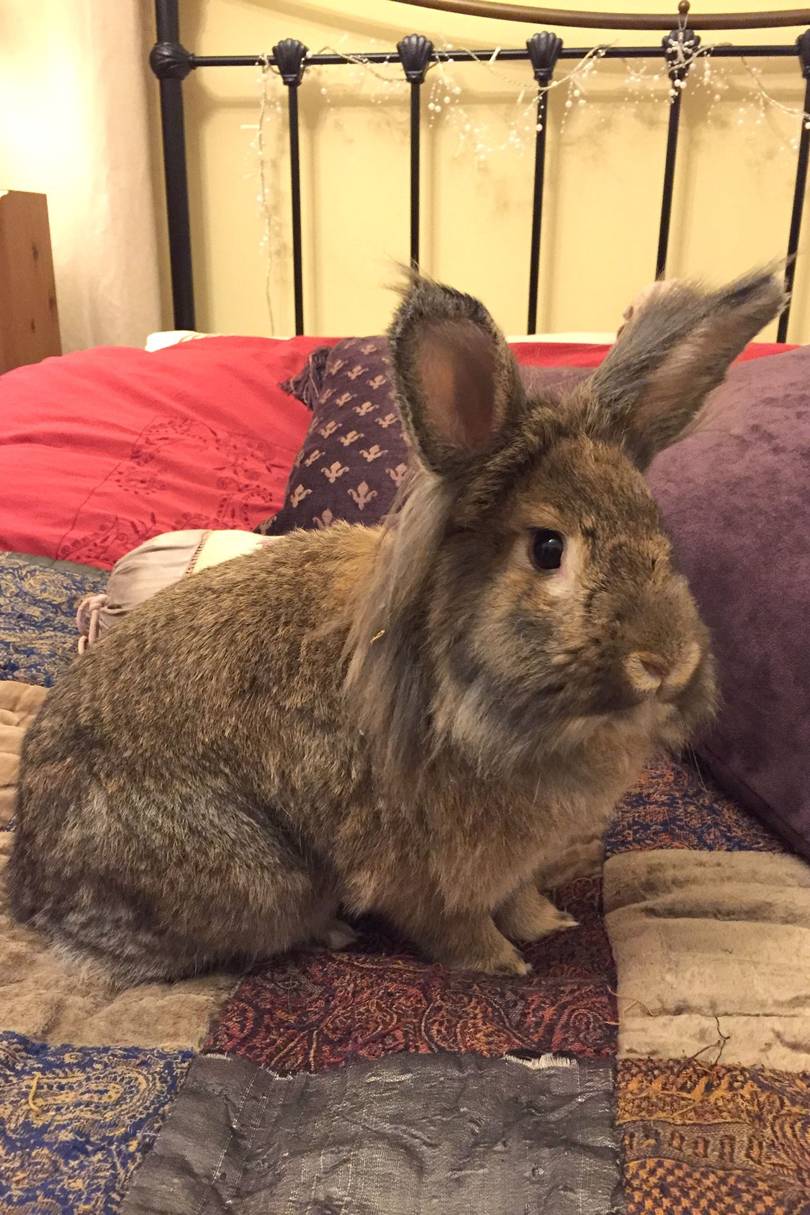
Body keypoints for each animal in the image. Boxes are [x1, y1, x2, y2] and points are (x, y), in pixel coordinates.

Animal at [9, 266, 783, 985]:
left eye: (659, 531)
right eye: (547, 549)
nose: (667, 663)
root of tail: (32, 884)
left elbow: (518, 897)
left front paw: (547, 923)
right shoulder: (424, 867)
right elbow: (457, 925)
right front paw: (506, 964)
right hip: (257, 876)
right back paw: (333, 932)